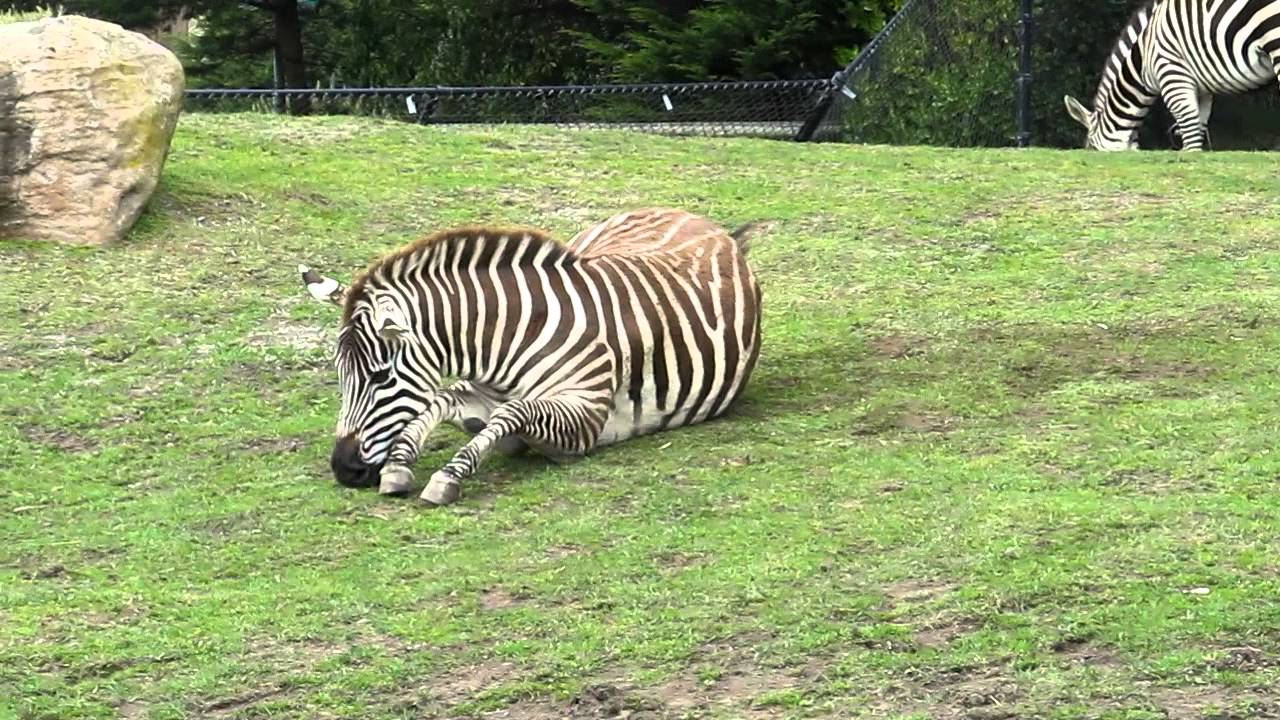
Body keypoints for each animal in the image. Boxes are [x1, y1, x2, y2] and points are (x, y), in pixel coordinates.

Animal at [298, 208, 763, 505]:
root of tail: (712, 226)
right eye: (340, 376)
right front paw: (399, 464)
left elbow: (513, 412)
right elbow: (439, 401)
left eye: (380, 378)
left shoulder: (585, 416)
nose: (344, 470)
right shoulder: (478, 397)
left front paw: (447, 476)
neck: (508, 339)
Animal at [1064, 0, 1280, 151]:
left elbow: (1189, 126)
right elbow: (1199, 124)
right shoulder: (1201, 87)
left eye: (1091, 149)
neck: (1143, 56)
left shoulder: (1171, 73)